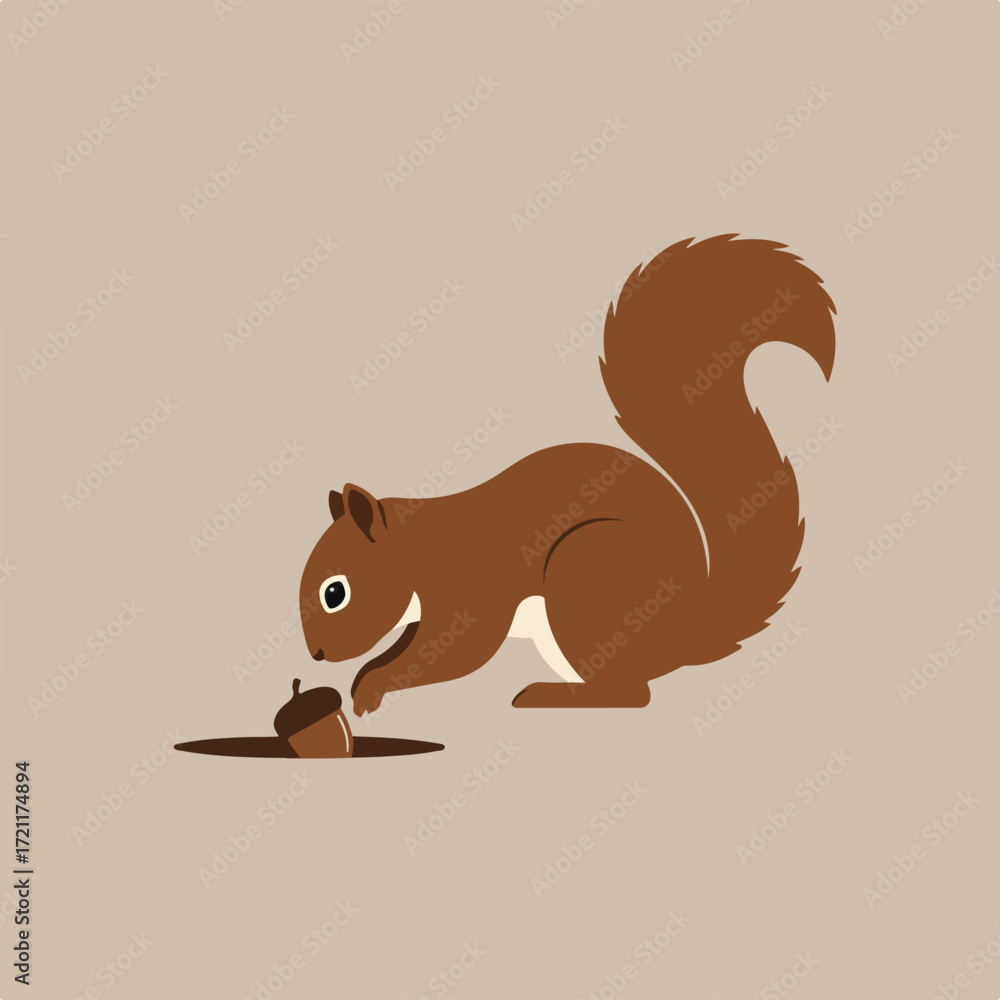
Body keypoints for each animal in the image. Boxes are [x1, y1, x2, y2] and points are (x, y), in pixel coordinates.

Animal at [299, 235, 836, 714]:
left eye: (335, 592)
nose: (317, 655)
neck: (418, 549)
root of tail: (689, 629)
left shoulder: (468, 595)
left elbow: (456, 652)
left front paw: (371, 689)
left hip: (587, 578)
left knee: (630, 694)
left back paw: (547, 697)